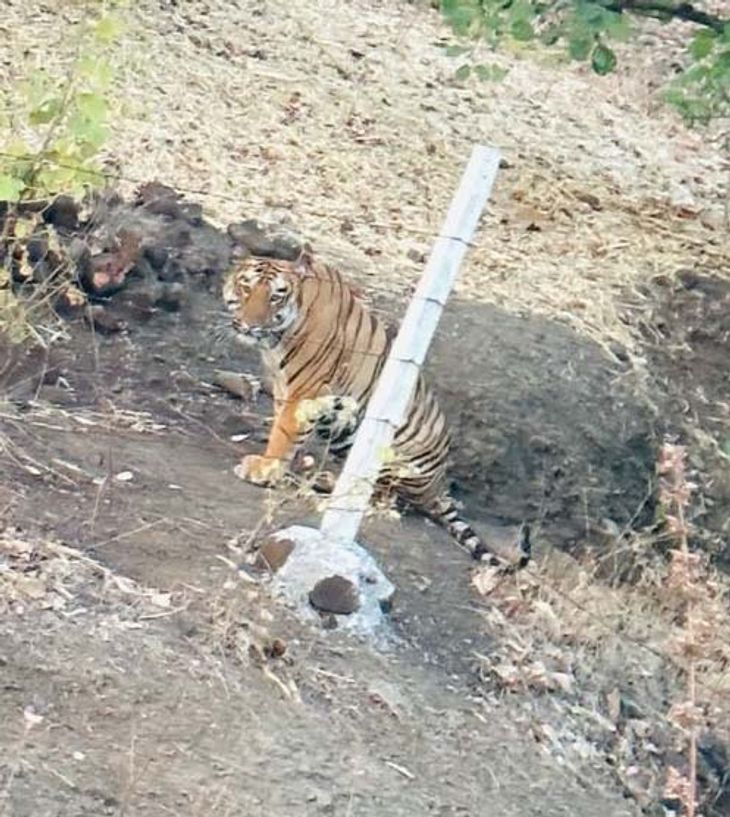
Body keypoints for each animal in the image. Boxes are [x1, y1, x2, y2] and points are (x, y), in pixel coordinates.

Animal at [222, 251, 530, 568]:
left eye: (276, 296)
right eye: (246, 287)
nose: (250, 325)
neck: (277, 338)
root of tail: (438, 488)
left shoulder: (304, 391)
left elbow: (284, 433)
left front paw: (263, 469)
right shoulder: (285, 388)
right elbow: (288, 434)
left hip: (395, 457)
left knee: (383, 495)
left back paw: (329, 481)